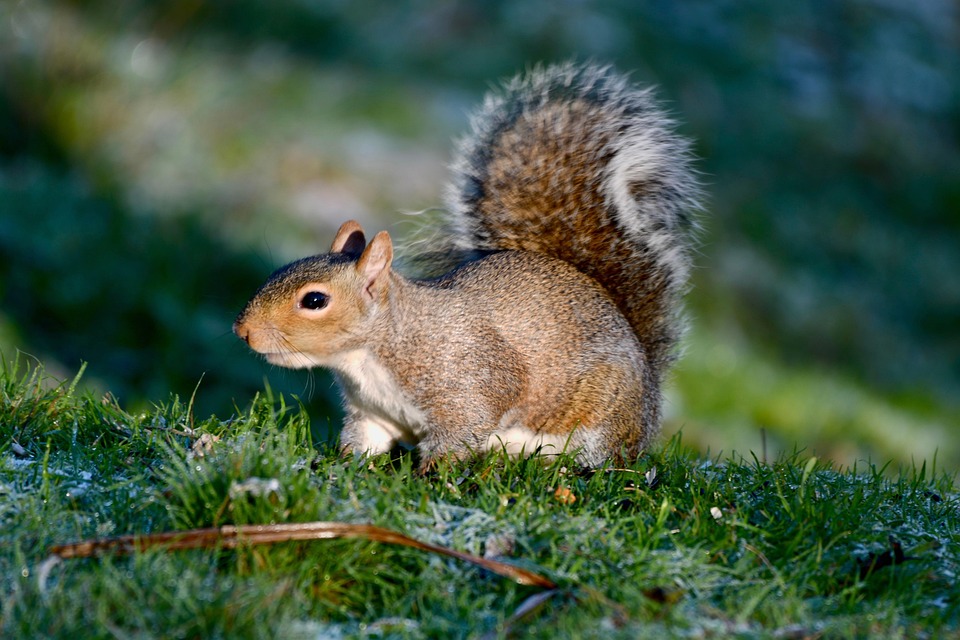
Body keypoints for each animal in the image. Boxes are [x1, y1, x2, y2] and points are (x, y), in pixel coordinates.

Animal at [233, 62, 701, 468]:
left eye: (314, 300)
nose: (243, 331)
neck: (372, 354)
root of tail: (650, 394)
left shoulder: (470, 384)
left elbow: (459, 435)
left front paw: (430, 478)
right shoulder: (373, 413)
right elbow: (363, 443)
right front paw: (341, 466)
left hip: (603, 421)